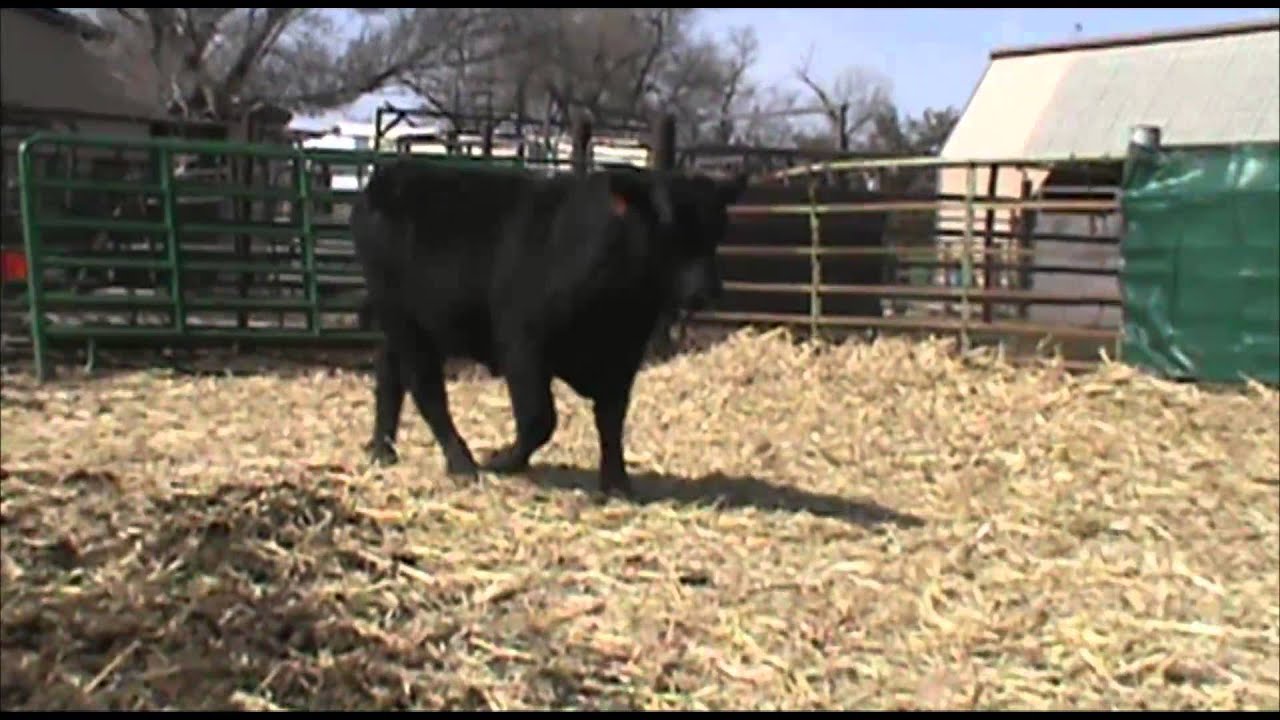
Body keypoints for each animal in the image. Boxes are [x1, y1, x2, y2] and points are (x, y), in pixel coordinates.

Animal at [349, 157, 746, 497]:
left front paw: (617, 483)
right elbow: (540, 419)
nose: (707, 291)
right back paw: (462, 463)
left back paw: (383, 450)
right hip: (406, 322)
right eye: (666, 228)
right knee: (426, 388)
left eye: (719, 230)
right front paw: (503, 460)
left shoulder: (622, 357)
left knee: (389, 375)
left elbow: (611, 420)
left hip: (402, 325)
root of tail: (392, 173)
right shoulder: (523, 345)